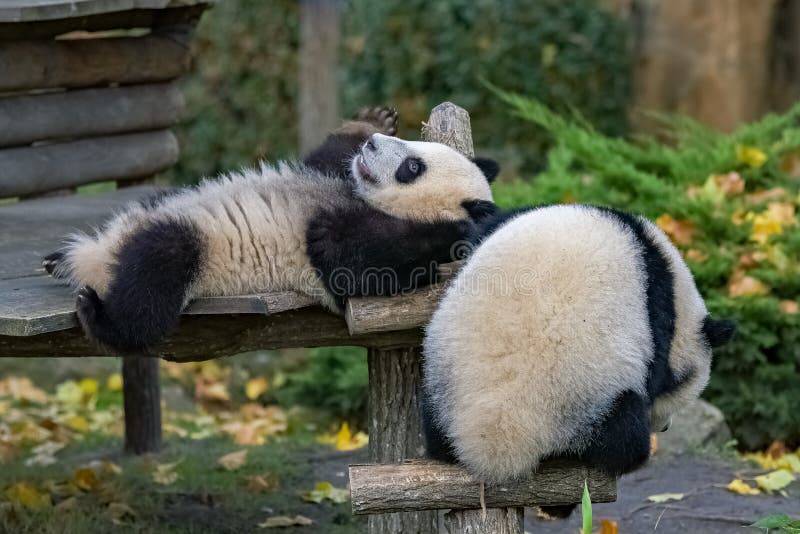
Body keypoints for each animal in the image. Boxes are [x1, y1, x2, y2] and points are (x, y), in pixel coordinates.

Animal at [44, 108, 500, 354]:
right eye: (414, 149)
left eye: (412, 167)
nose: (371, 144)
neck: (363, 200)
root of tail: (99, 258)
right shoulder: (333, 175)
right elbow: (325, 159)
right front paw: (370, 121)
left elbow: (349, 259)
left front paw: (452, 231)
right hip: (155, 208)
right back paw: (55, 260)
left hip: (196, 248)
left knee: (156, 279)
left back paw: (98, 316)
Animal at [421, 203, 735, 514]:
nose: (666, 426)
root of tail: (492, 447)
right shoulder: (656, 316)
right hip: (586, 407)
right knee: (624, 437)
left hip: (442, 380)